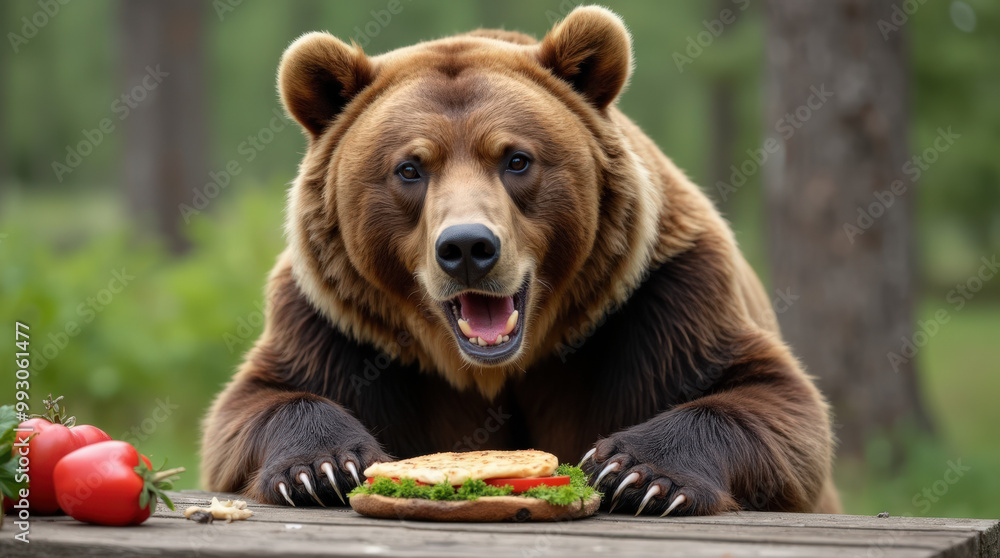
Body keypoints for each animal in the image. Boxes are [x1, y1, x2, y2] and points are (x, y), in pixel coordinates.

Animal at [201, 5, 840, 516]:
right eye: (409, 168)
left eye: (516, 159)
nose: (467, 248)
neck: (495, 368)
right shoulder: (340, 325)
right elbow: (256, 403)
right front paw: (322, 467)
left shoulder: (659, 298)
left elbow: (773, 401)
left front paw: (636, 472)